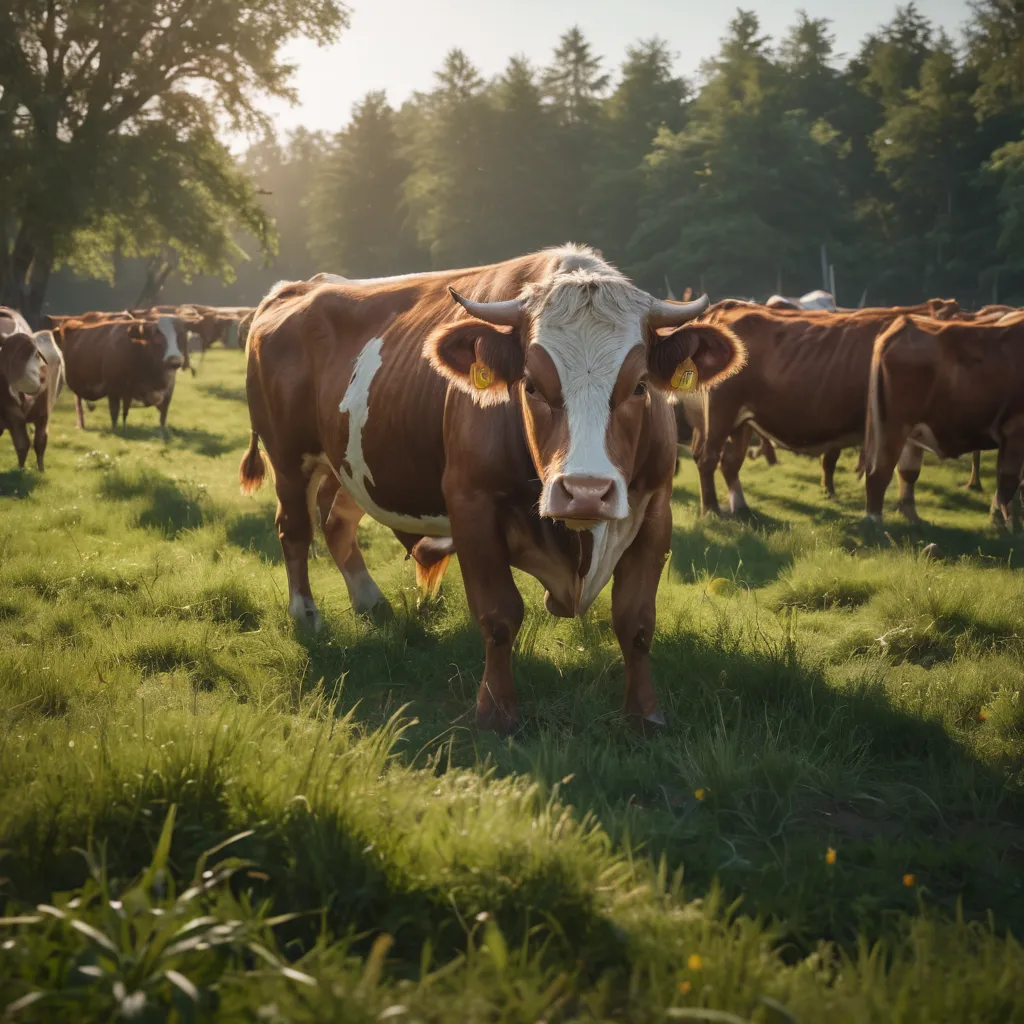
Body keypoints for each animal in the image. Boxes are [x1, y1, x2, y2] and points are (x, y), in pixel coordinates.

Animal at [57, 315, 187, 439]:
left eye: (180, 337)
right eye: (157, 338)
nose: (175, 361)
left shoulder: (167, 392)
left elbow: (162, 417)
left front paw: (163, 434)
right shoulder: (113, 389)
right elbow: (115, 412)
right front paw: (116, 432)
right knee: (78, 403)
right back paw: (81, 425)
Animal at [239, 246, 745, 734]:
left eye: (640, 386)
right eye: (531, 385)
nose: (585, 492)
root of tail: (296, 288)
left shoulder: (656, 506)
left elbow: (636, 620)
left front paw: (645, 715)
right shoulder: (472, 504)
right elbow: (499, 614)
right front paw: (496, 712)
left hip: (347, 464)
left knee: (337, 522)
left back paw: (371, 602)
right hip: (288, 458)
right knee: (295, 530)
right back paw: (306, 615)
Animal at [864, 312, 1024, 529]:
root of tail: (905, 323)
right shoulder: (1014, 429)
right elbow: (1008, 485)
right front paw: (1007, 526)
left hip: (907, 433)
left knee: (906, 472)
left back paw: (912, 518)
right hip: (893, 429)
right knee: (879, 473)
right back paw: (876, 525)